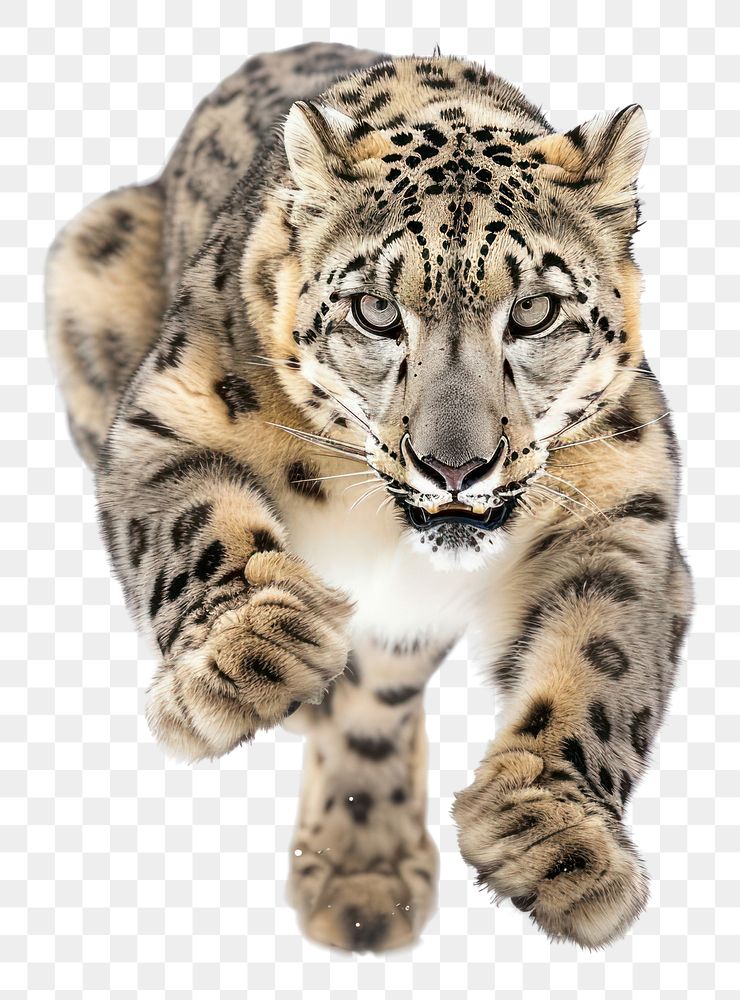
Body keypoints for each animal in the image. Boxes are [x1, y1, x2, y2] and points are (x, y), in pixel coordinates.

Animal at [46, 42, 692, 952]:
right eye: (376, 311)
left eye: (534, 310)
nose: (455, 466)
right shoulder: (164, 421)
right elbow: (198, 525)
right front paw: (248, 652)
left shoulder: (624, 510)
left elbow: (604, 660)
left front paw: (558, 836)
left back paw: (366, 879)